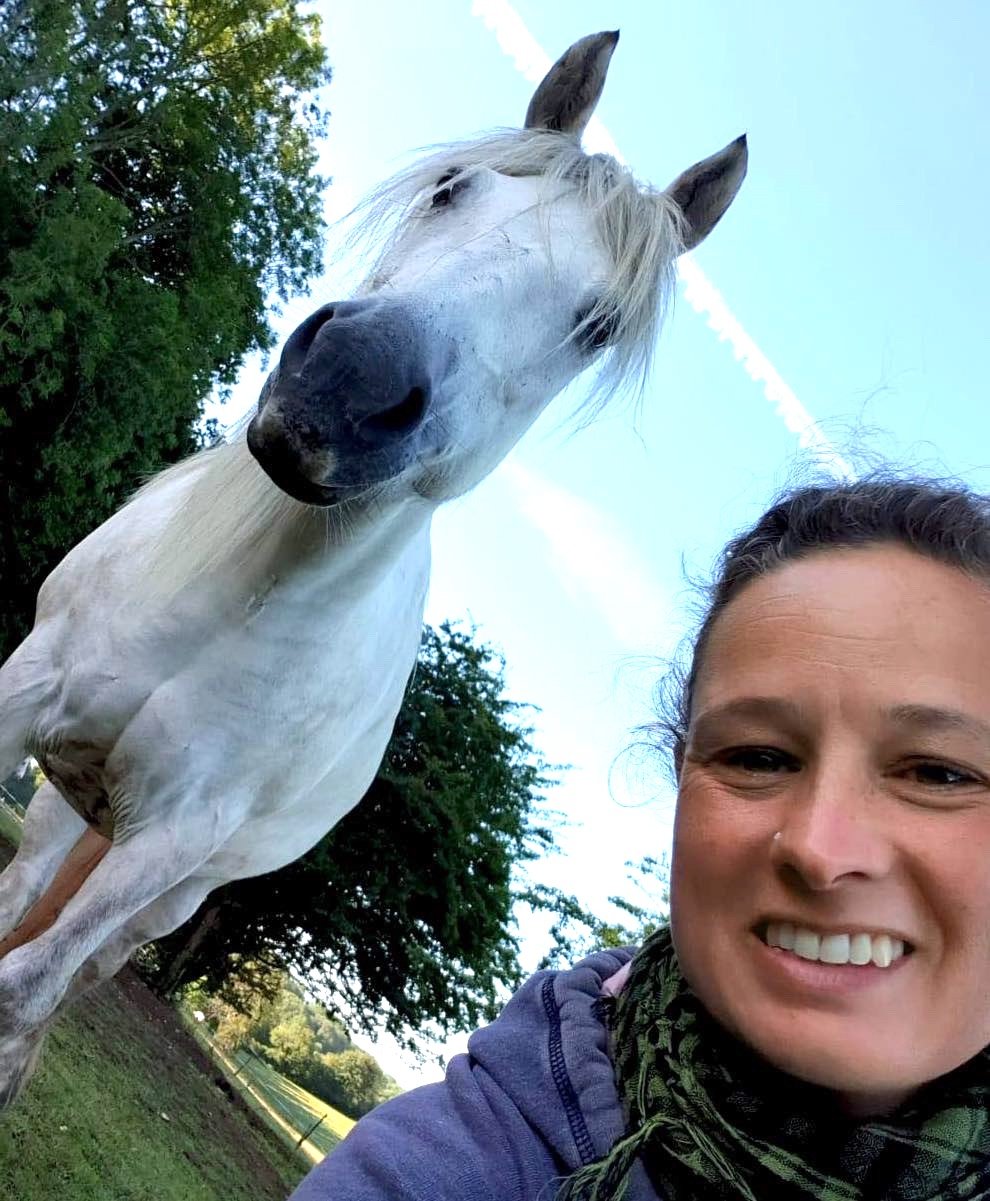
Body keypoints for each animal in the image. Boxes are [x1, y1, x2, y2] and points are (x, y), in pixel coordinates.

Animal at [0, 30, 746, 1106]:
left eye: (597, 324)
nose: (351, 383)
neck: (230, 603)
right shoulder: (23, 688)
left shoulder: (171, 841)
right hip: (65, 792)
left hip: (169, 883)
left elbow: (27, 987)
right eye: (450, 186)